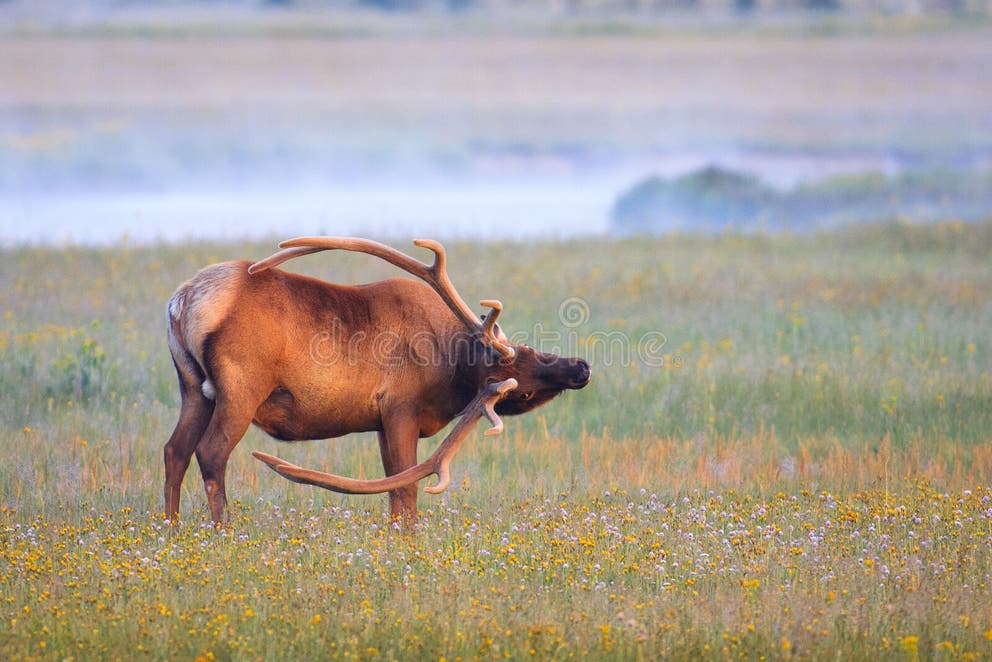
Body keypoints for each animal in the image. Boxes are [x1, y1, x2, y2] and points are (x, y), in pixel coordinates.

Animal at [164, 237, 591, 524]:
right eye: (524, 361)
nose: (581, 368)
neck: (450, 363)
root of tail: (182, 301)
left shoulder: (381, 420)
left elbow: (394, 487)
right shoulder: (402, 407)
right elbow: (406, 486)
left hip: (193, 389)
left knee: (175, 450)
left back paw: (172, 529)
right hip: (241, 389)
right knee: (211, 452)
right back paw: (222, 531)